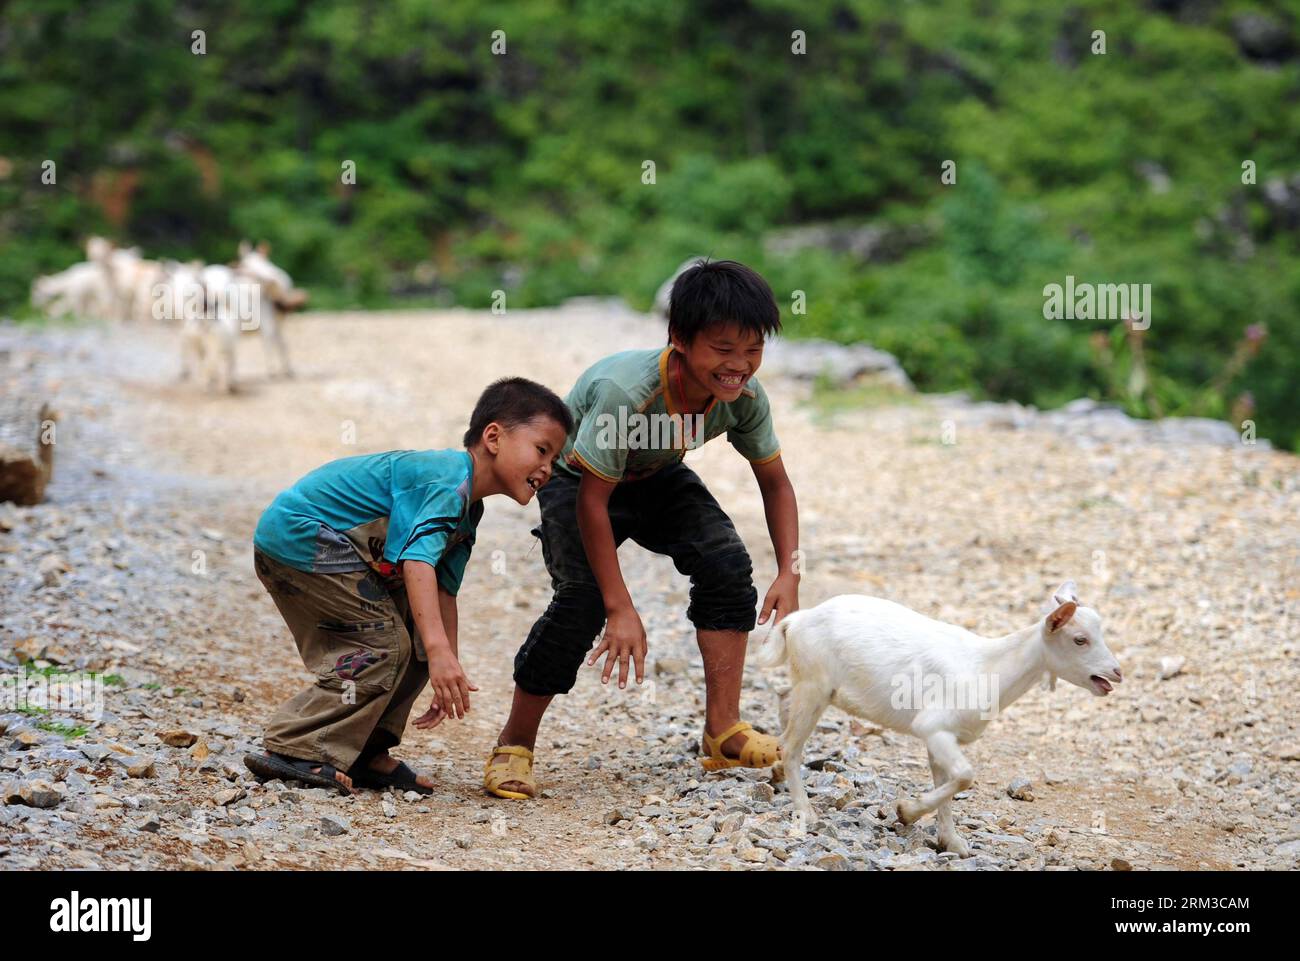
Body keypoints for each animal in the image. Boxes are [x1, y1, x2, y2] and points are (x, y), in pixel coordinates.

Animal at [754, 580, 1123, 856]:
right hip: (814, 686)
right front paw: (906, 810)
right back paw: (804, 810)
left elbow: (947, 781)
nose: (1117, 673)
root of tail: (796, 620)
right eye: (1079, 639)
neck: (988, 668)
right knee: (792, 746)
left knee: (785, 702)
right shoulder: (933, 727)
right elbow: (965, 776)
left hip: (811, 686)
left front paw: (951, 841)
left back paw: (775, 769)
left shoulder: (944, 736)